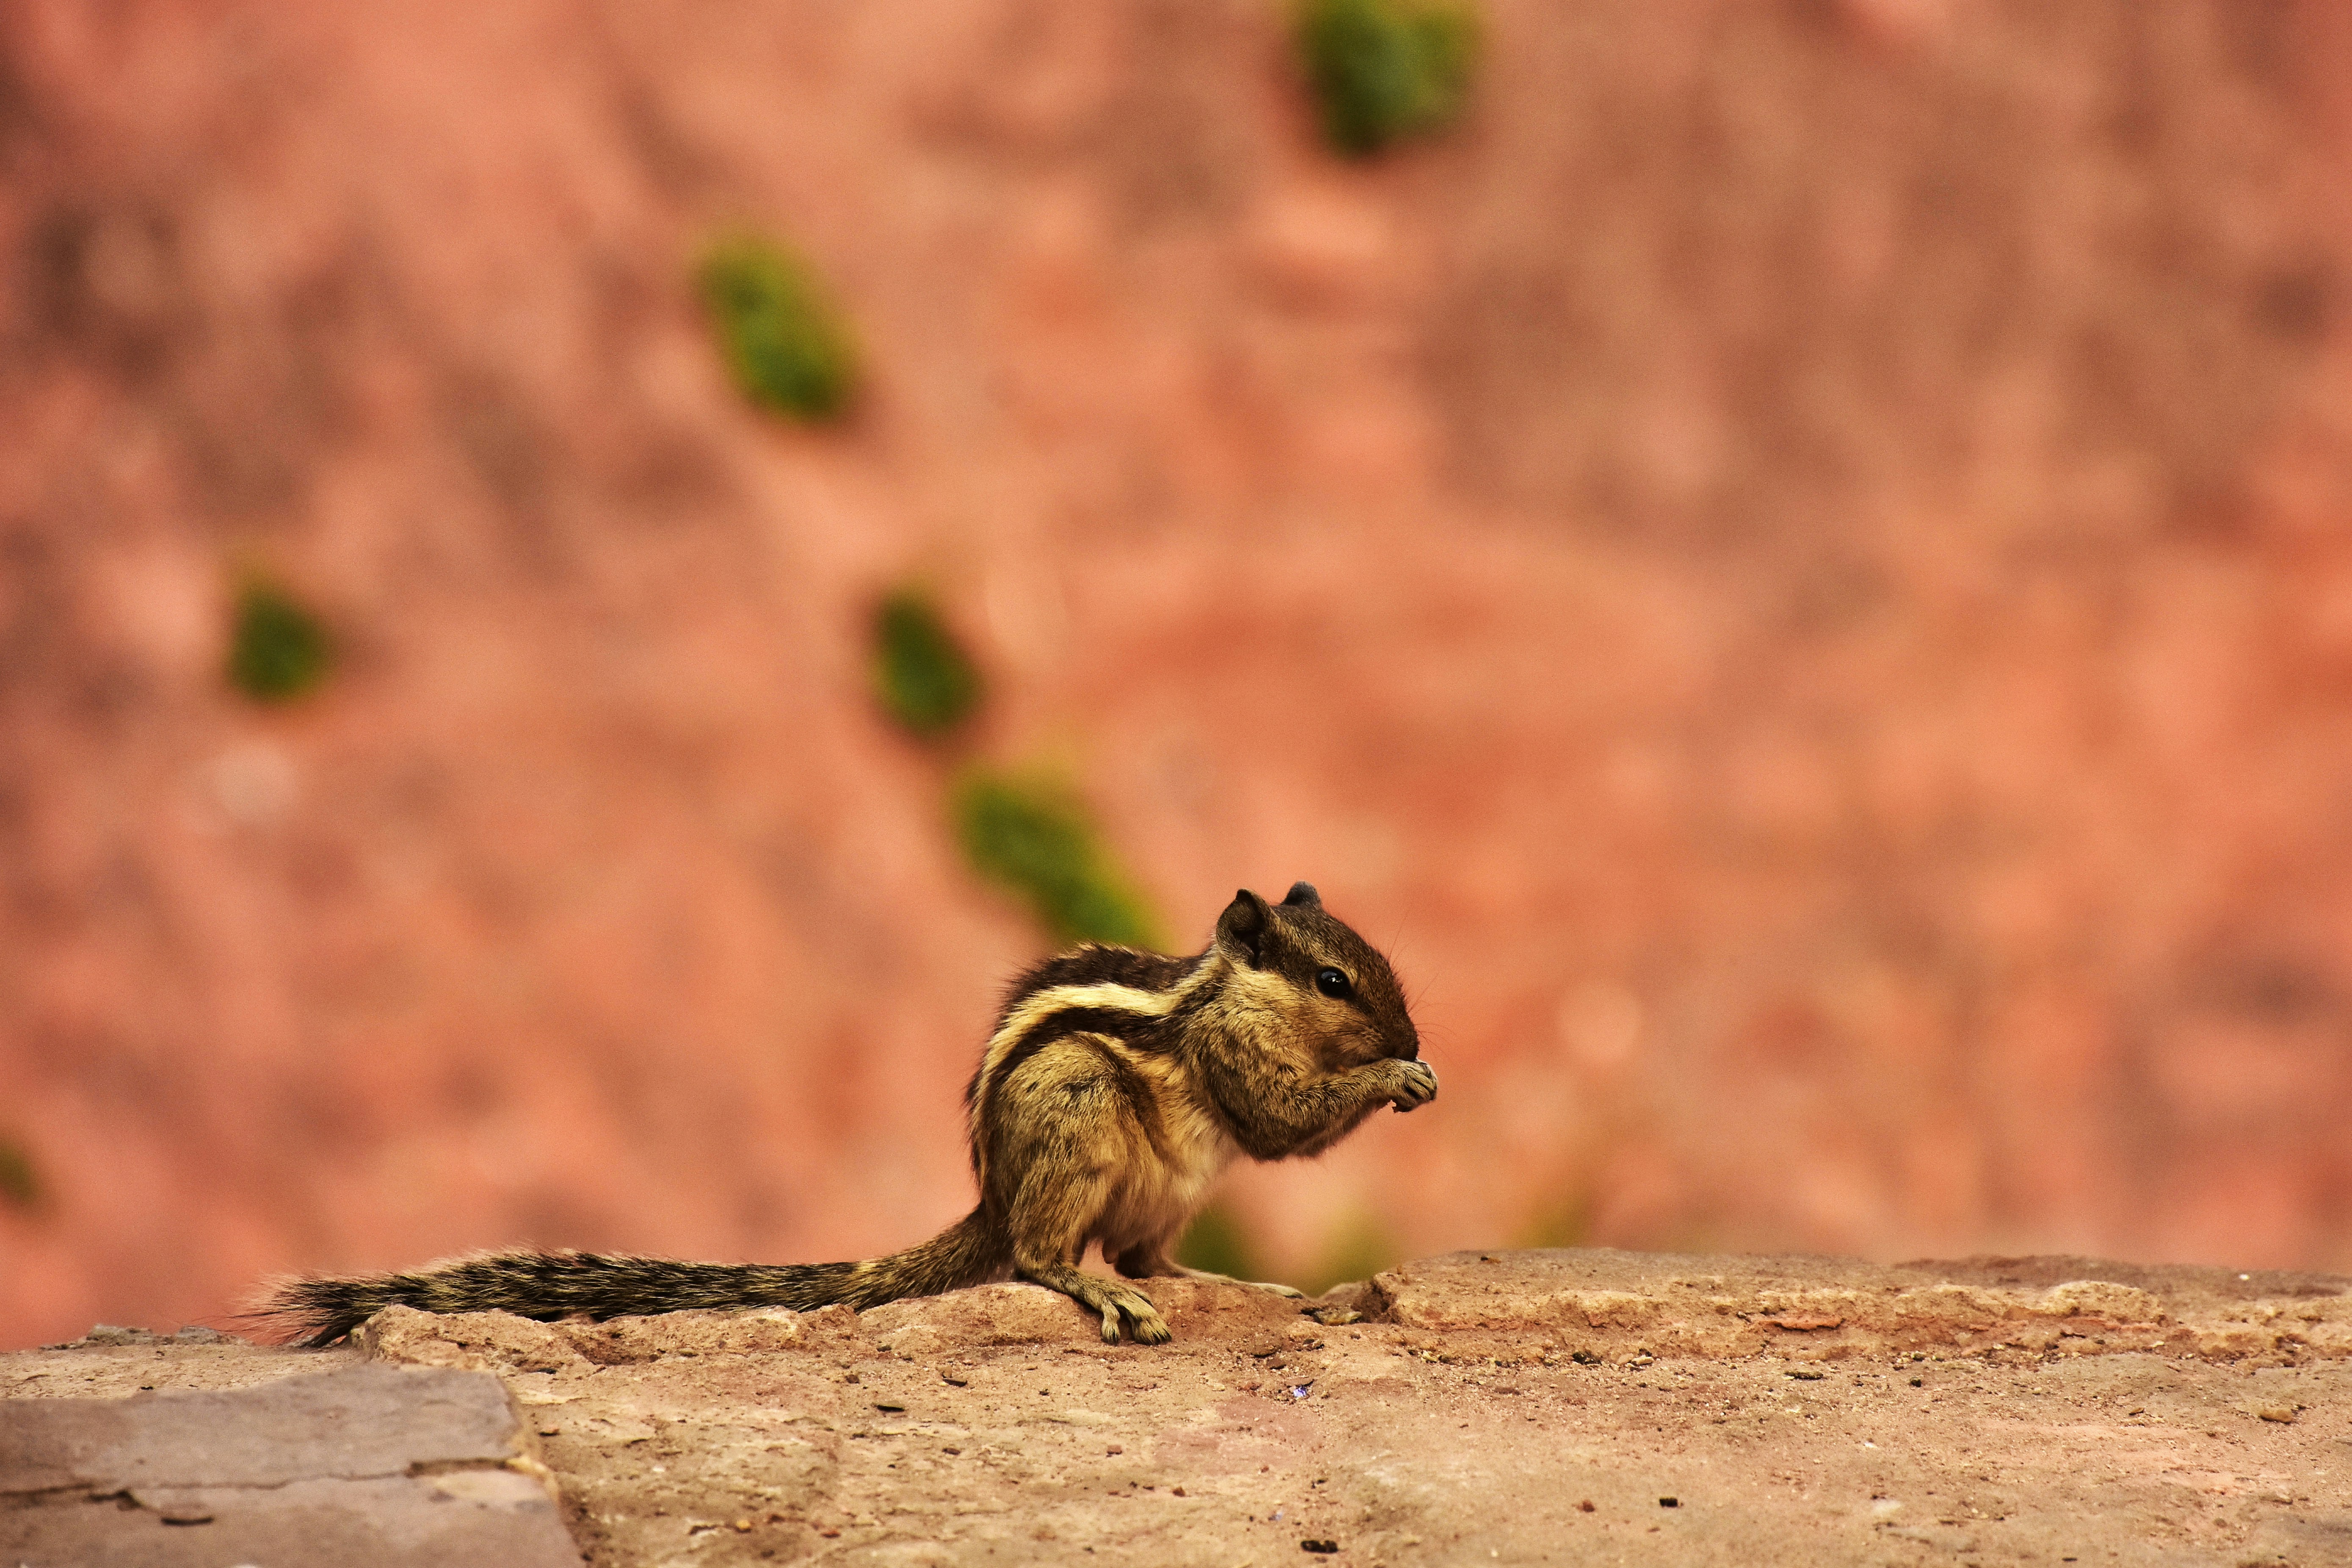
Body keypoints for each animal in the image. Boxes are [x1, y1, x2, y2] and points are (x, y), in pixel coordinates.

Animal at [264, 882, 1433, 1347]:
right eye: (1334, 981)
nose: (1414, 1035)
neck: (1228, 993)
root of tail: (991, 1194)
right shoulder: (1232, 1058)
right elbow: (1280, 1120)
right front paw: (1396, 1080)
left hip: (1162, 1191)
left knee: (1146, 1255)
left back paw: (1237, 1285)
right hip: (1078, 1112)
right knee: (1044, 1258)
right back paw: (1105, 1294)